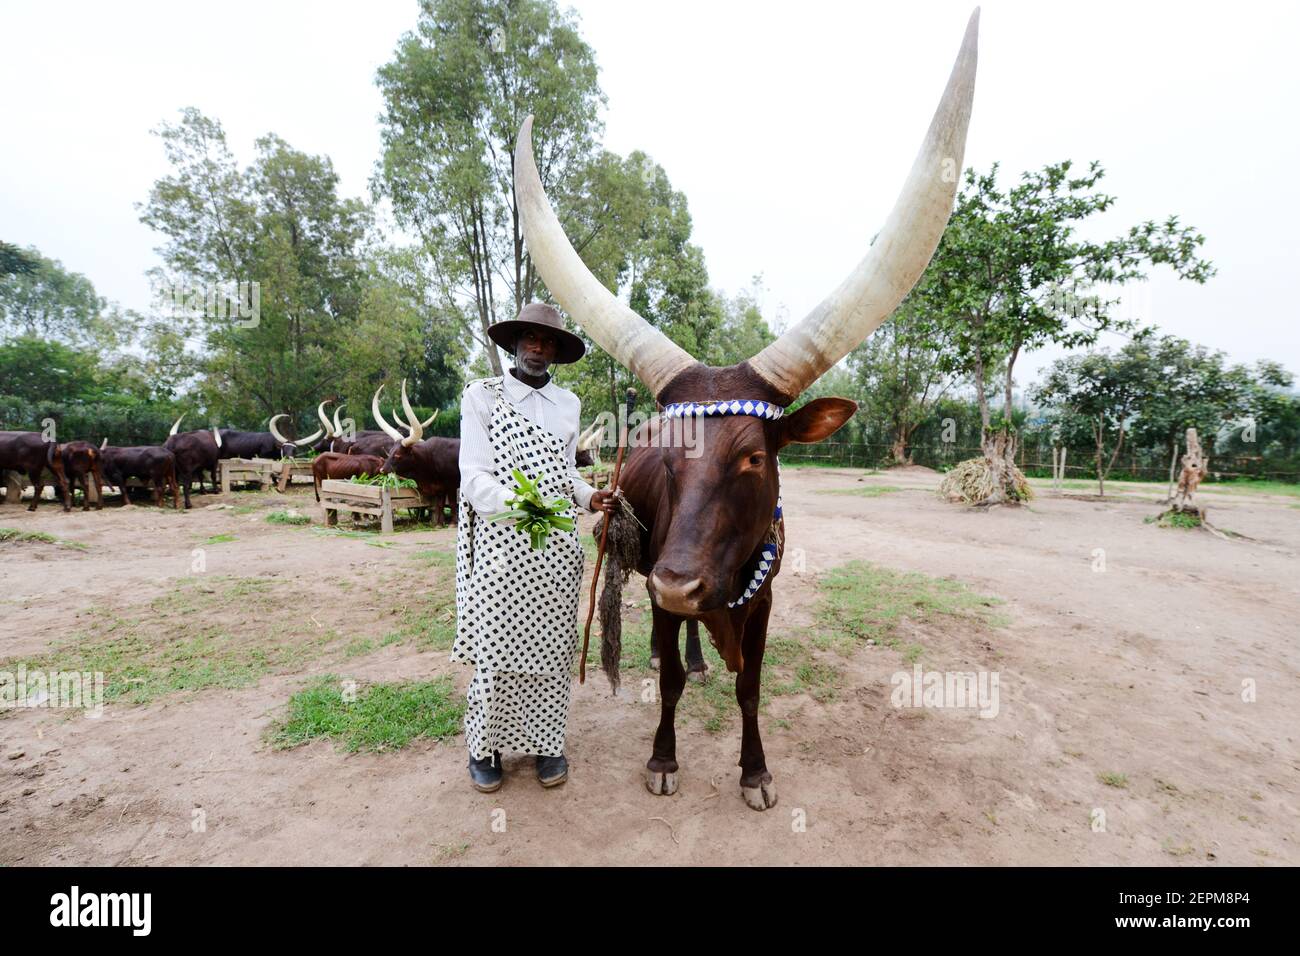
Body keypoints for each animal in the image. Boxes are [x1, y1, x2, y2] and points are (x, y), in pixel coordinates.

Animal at [372, 382, 460, 528]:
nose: (382, 470)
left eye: (398, 456)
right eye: (389, 453)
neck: (430, 458)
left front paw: (453, 523)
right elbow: (440, 504)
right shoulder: (439, 488)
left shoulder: (451, 484)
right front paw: (439, 524)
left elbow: (453, 503)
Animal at [511, 10, 978, 811]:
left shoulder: (762, 601)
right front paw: (664, 758)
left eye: (756, 457)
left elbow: (752, 688)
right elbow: (666, 680)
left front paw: (755, 771)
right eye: (669, 460)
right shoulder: (663, 593)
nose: (677, 581)